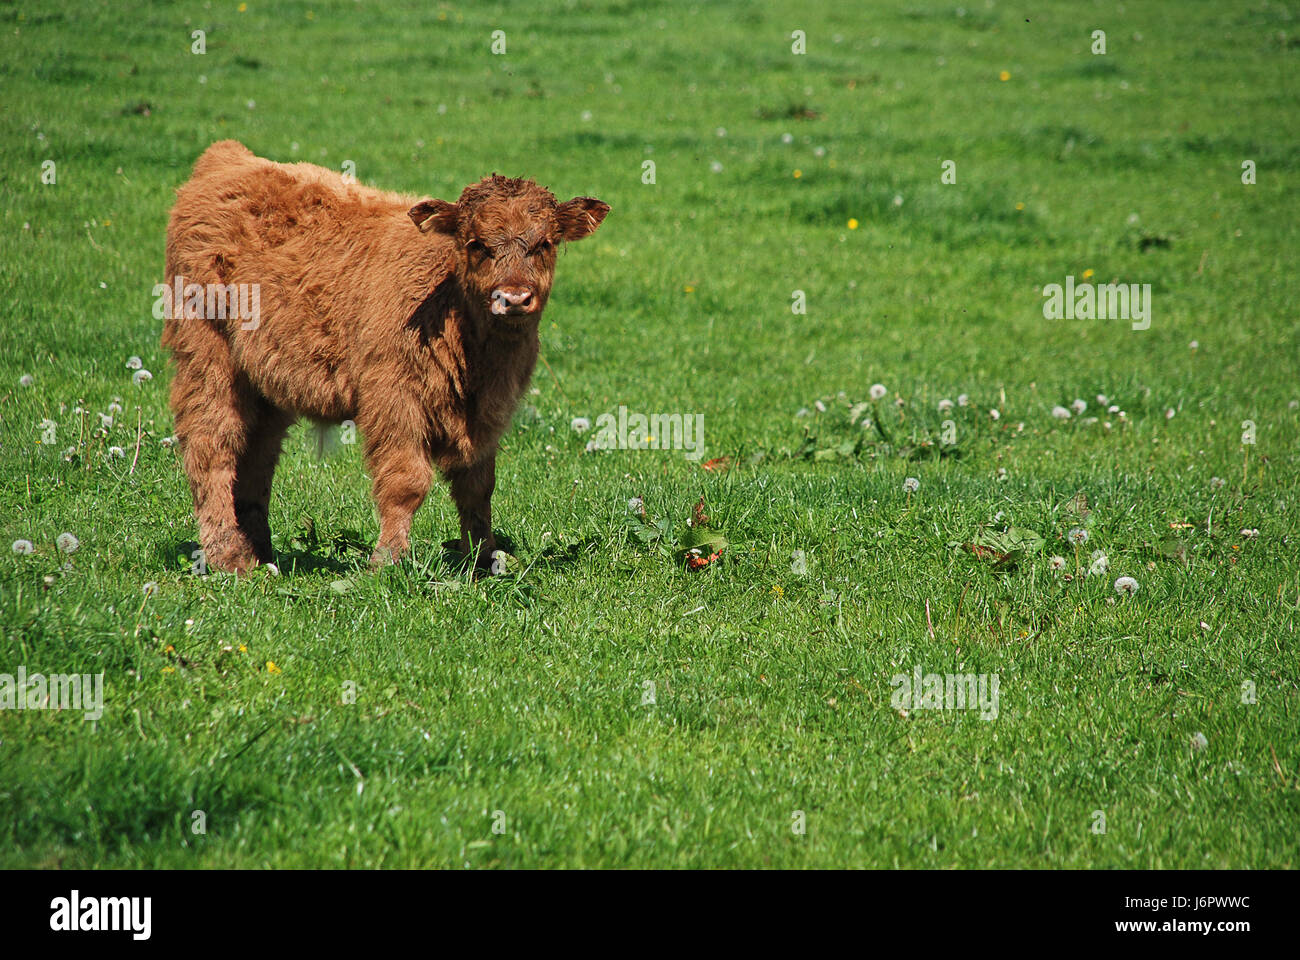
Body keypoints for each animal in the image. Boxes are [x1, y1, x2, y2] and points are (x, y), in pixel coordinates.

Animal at [161, 140, 608, 573]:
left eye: (544, 243)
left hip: (265, 380)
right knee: (211, 446)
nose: (513, 297)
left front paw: (485, 559)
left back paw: (261, 553)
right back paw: (228, 555)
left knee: (257, 457)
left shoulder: (491, 415)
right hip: (208, 355)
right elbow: (406, 482)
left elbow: (478, 487)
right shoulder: (393, 398)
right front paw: (388, 558)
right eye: (476, 244)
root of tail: (229, 157)